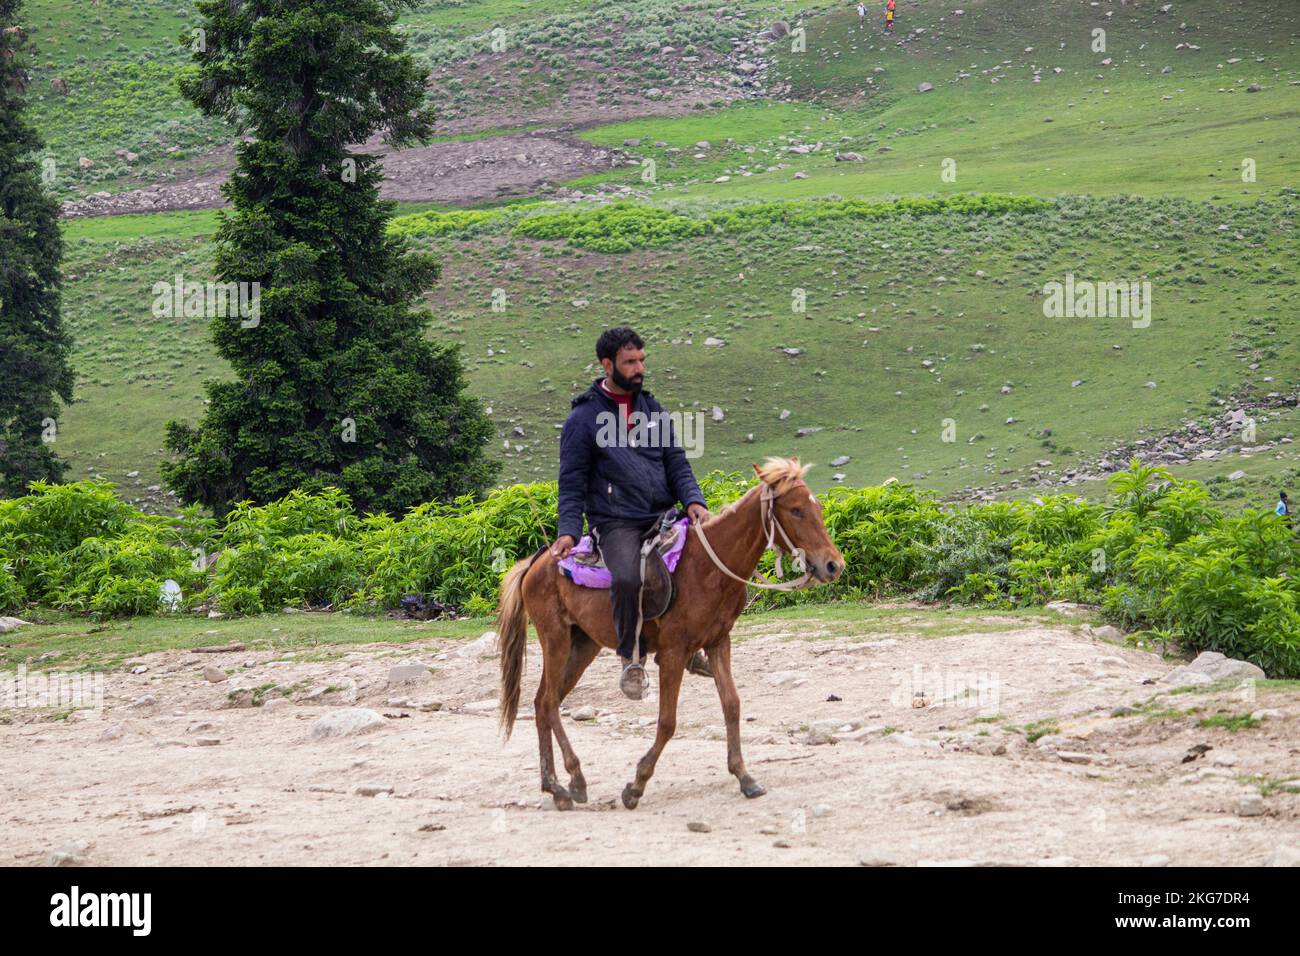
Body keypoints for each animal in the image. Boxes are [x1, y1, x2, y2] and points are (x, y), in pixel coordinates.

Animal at [496, 456, 844, 810]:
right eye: (796, 510)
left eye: (815, 506)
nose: (833, 565)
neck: (708, 567)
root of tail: (538, 561)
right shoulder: (673, 652)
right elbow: (667, 721)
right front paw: (635, 786)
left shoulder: (719, 642)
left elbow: (732, 705)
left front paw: (744, 777)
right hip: (555, 638)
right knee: (549, 701)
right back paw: (572, 779)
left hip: (583, 645)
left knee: (543, 702)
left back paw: (557, 786)